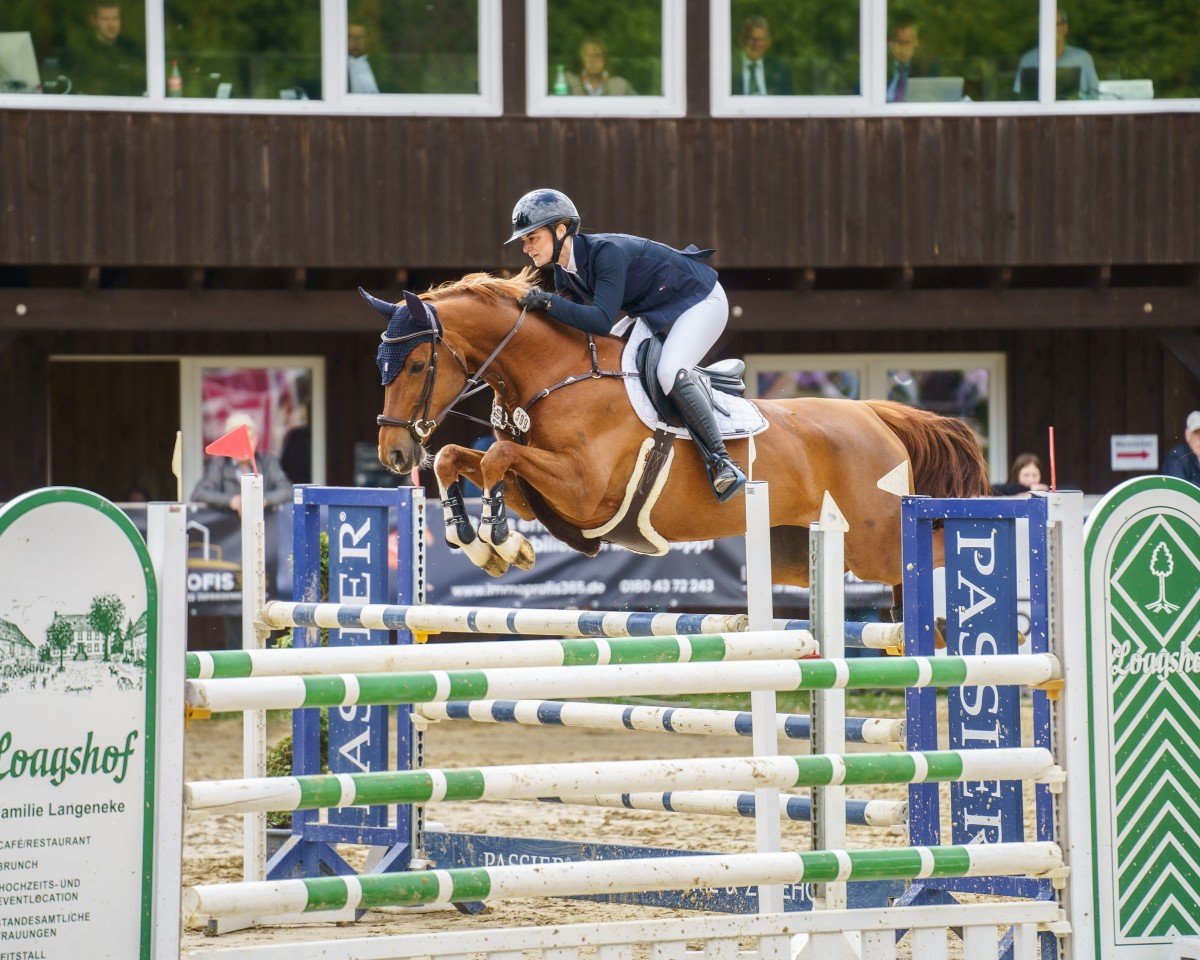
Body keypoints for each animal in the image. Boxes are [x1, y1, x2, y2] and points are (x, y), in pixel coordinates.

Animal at [368, 268, 991, 611]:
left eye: (418, 364)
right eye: (382, 364)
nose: (394, 454)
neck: (554, 375)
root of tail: (878, 416)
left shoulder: (583, 489)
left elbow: (497, 454)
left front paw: (495, 535)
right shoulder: (543, 493)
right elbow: (459, 458)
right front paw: (483, 540)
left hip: (876, 540)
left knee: (930, 552)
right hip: (802, 550)